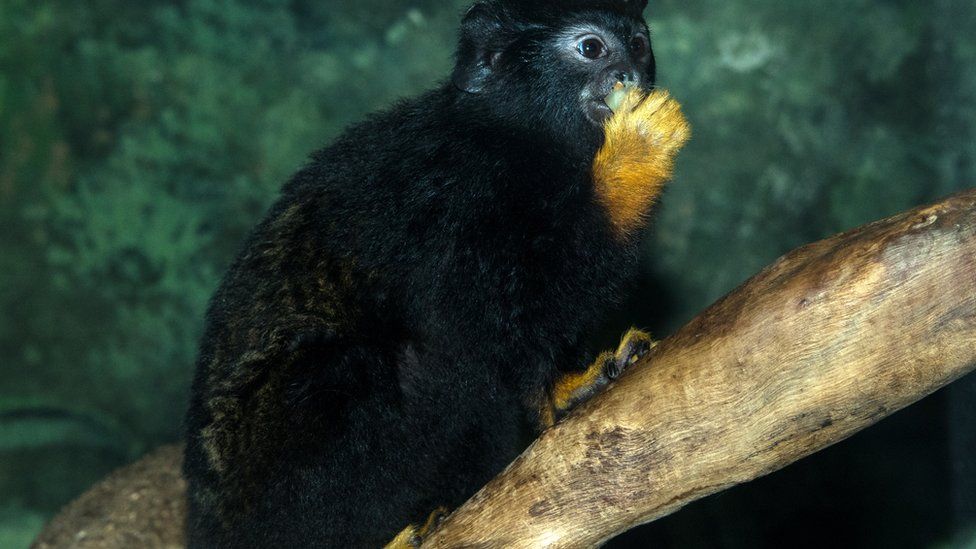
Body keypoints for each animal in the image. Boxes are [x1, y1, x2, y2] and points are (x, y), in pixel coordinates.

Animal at [182, 0, 689, 546]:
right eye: (591, 48)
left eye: (637, 45)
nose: (628, 75)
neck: (524, 140)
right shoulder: (450, 187)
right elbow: (476, 309)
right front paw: (633, 155)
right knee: (352, 365)